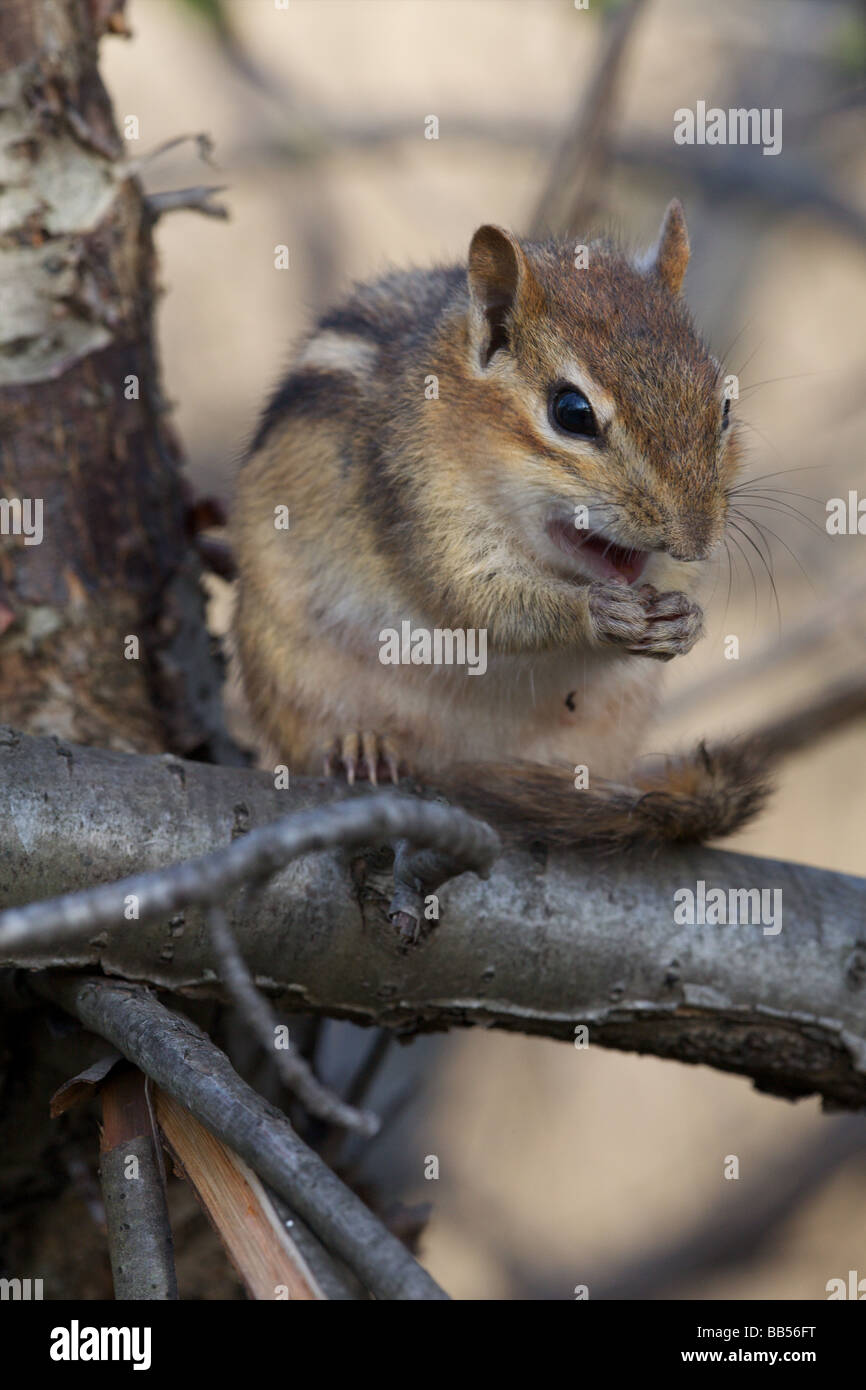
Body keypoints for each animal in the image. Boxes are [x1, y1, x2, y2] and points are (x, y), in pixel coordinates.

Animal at [231, 201, 772, 852]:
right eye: (572, 413)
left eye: (724, 406)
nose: (694, 541)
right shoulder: (416, 504)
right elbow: (479, 604)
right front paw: (595, 612)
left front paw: (684, 621)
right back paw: (362, 745)